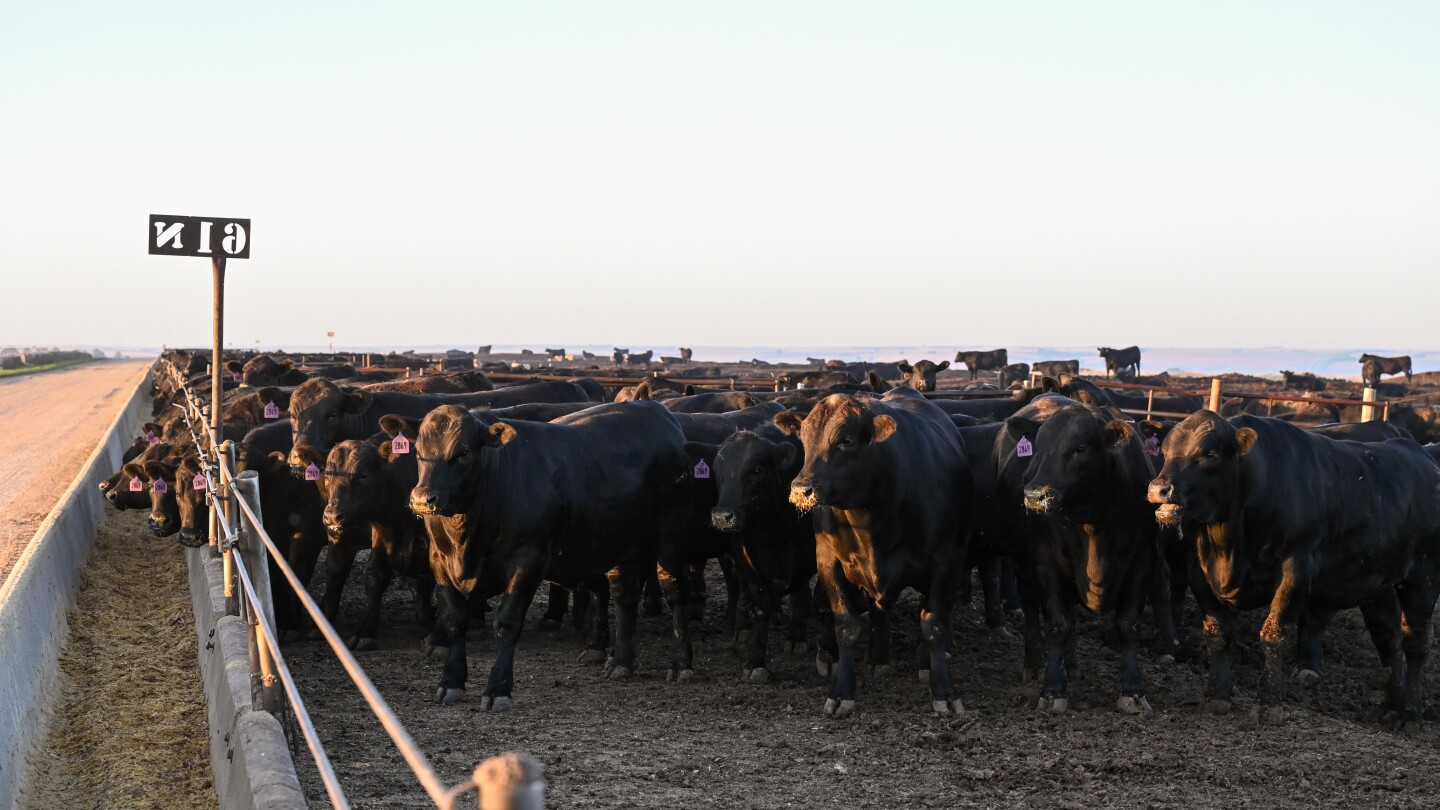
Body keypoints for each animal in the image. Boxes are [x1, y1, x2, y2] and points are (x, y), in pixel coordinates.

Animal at [410, 401, 694, 708]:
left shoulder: (527, 562)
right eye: (418, 451)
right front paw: (451, 682)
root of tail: (654, 408)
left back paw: (681, 664)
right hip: (619, 543)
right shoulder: (439, 561)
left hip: (670, 534)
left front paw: (498, 688)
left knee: (676, 594)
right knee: (623, 596)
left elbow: (507, 623)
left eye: (463, 452)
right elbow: (455, 620)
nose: (423, 498)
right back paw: (620, 661)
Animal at [776, 387, 973, 717]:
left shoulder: (944, 559)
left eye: (846, 440)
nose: (801, 490)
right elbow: (846, 625)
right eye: (803, 437)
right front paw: (841, 692)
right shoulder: (828, 560)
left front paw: (944, 691)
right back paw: (871, 657)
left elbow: (933, 624)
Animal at [1002, 403, 1174, 714]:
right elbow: (1058, 623)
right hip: (1023, 565)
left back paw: (1071, 666)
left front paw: (1133, 690)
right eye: (1037, 449)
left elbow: (1128, 624)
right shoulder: (1047, 563)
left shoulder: (1144, 563)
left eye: (1080, 448)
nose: (1035, 495)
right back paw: (1035, 663)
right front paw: (1052, 690)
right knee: (1032, 607)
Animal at [1147, 412, 1440, 730]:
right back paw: (1391, 707)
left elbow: (1274, 634)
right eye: (1165, 452)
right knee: (1389, 639)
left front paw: (1268, 704)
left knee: (1416, 643)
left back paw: (1411, 714)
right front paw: (1216, 695)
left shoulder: (1296, 571)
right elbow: (1217, 633)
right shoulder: (1198, 572)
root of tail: (1421, 456)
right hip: (1379, 584)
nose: (1159, 489)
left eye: (1209, 454)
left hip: (1424, 576)